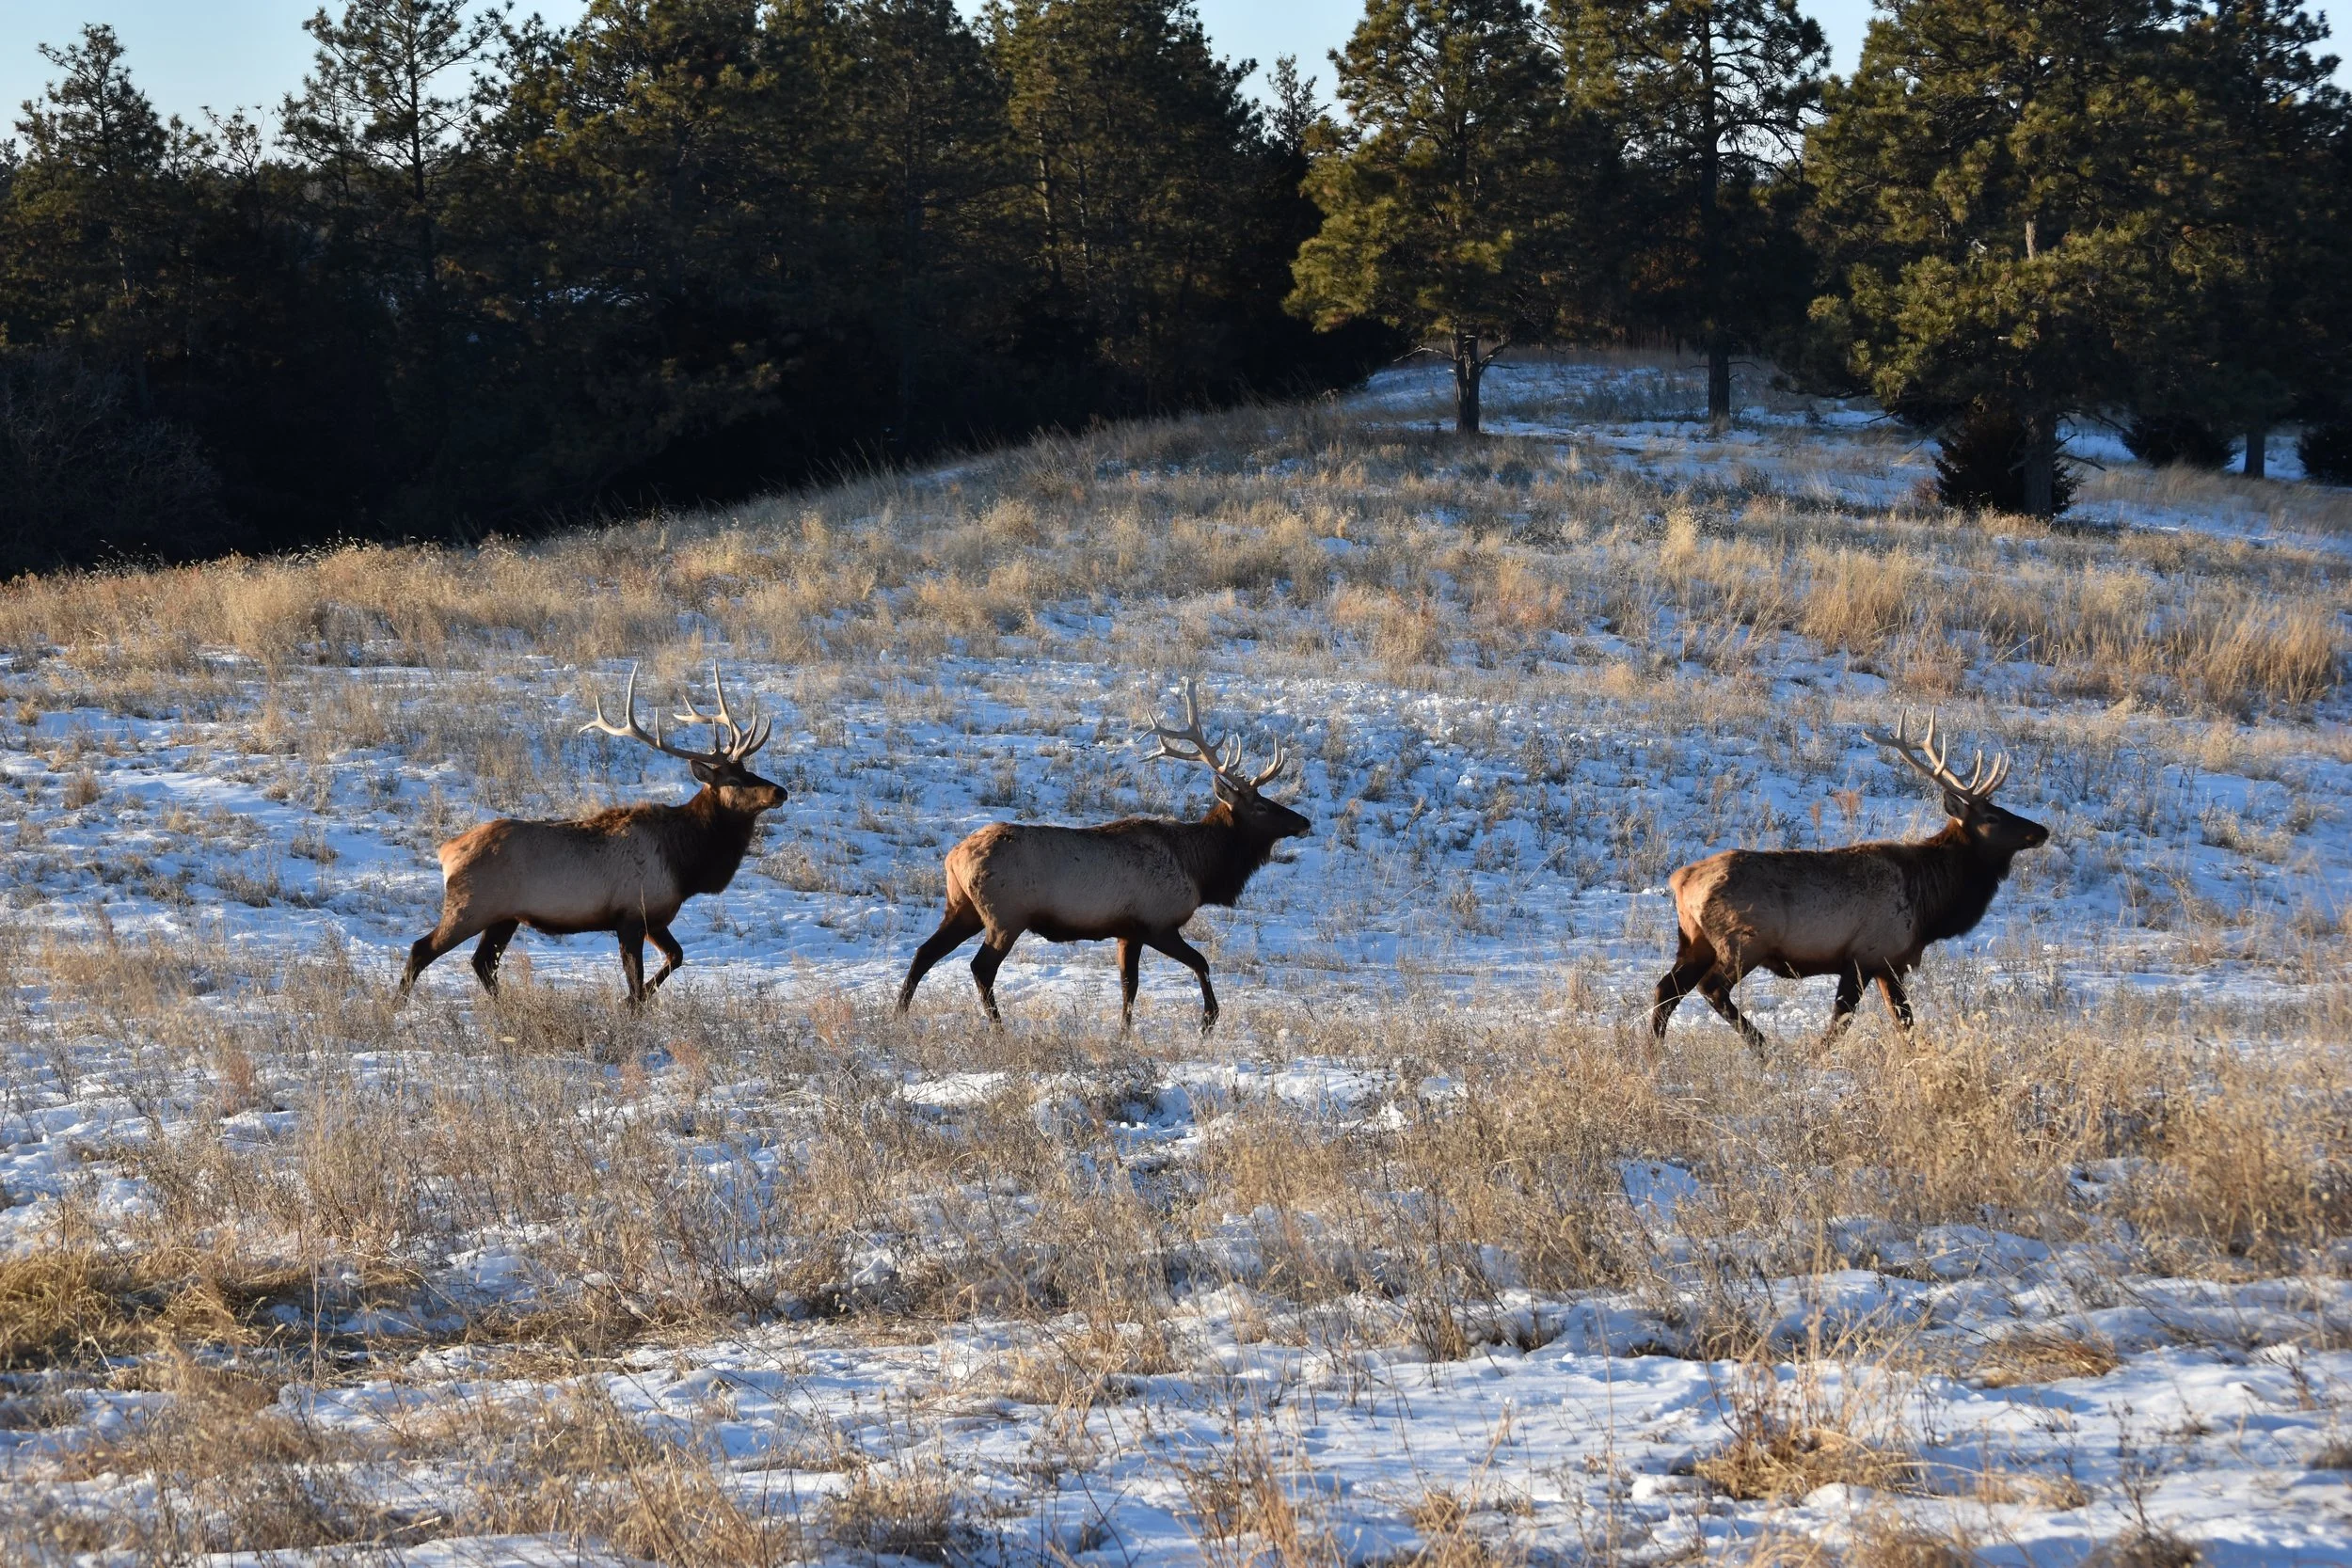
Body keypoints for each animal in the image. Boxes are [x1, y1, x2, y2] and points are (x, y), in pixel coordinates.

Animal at [398, 666, 784, 1004]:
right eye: (733, 780)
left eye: (750, 771)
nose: (780, 791)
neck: (685, 863)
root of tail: (447, 851)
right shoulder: (632, 915)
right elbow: (637, 981)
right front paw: (628, 1005)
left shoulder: (654, 918)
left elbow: (675, 958)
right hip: (471, 906)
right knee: (422, 949)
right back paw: (396, 1007)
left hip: (503, 916)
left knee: (482, 963)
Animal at [896, 679, 1312, 1032]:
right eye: (1260, 806)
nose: (1304, 821)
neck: (1199, 870)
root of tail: (952, 857)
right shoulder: (1157, 923)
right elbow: (1200, 963)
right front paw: (1208, 1021)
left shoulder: (1127, 932)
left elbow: (1130, 986)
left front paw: (1124, 1034)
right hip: (1005, 915)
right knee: (980, 968)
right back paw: (999, 1030)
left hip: (962, 906)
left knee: (924, 952)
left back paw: (898, 1014)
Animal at [1650, 712, 2049, 1053]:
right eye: (1992, 817)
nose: (2041, 830)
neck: (1930, 906)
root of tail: (1681, 880)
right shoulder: (1867, 954)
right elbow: (1843, 1020)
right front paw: (1811, 1059)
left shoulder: (1890, 963)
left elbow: (1905, 1024)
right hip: (1743, 941)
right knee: (1710, 988)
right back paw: (1765, 1049)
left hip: (1694, 940)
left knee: (1666, 989)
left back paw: (1654, 1052)